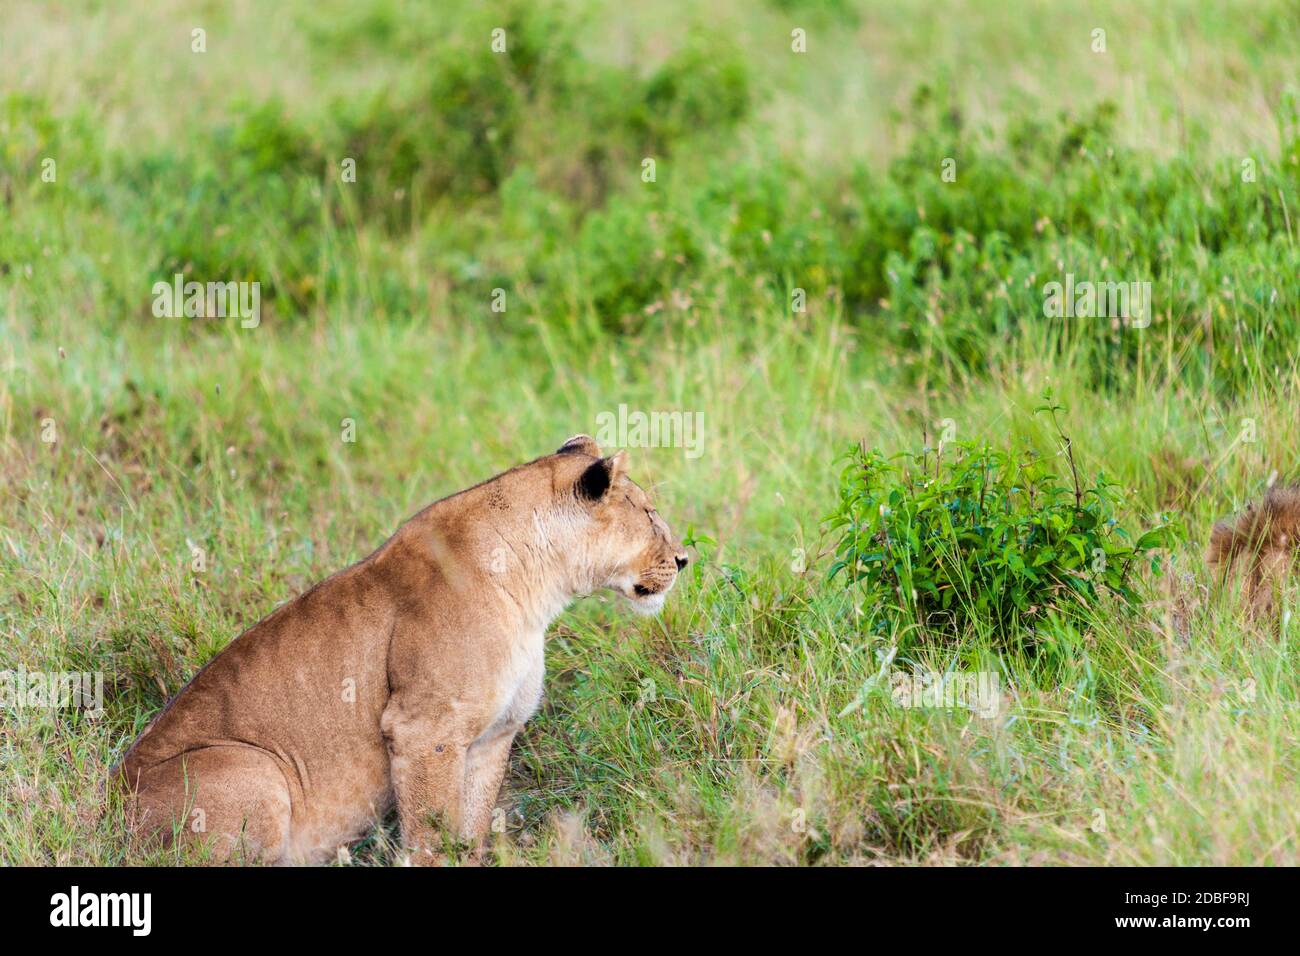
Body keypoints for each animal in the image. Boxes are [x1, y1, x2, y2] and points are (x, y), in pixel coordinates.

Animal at [112, 435, 688, 864]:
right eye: (650, 513)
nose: (685, 559)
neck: (539, 588)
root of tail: (104, 804)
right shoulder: (423, 728)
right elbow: (432, 835)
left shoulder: (492, 737)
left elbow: (470, 831)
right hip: (254, 768)